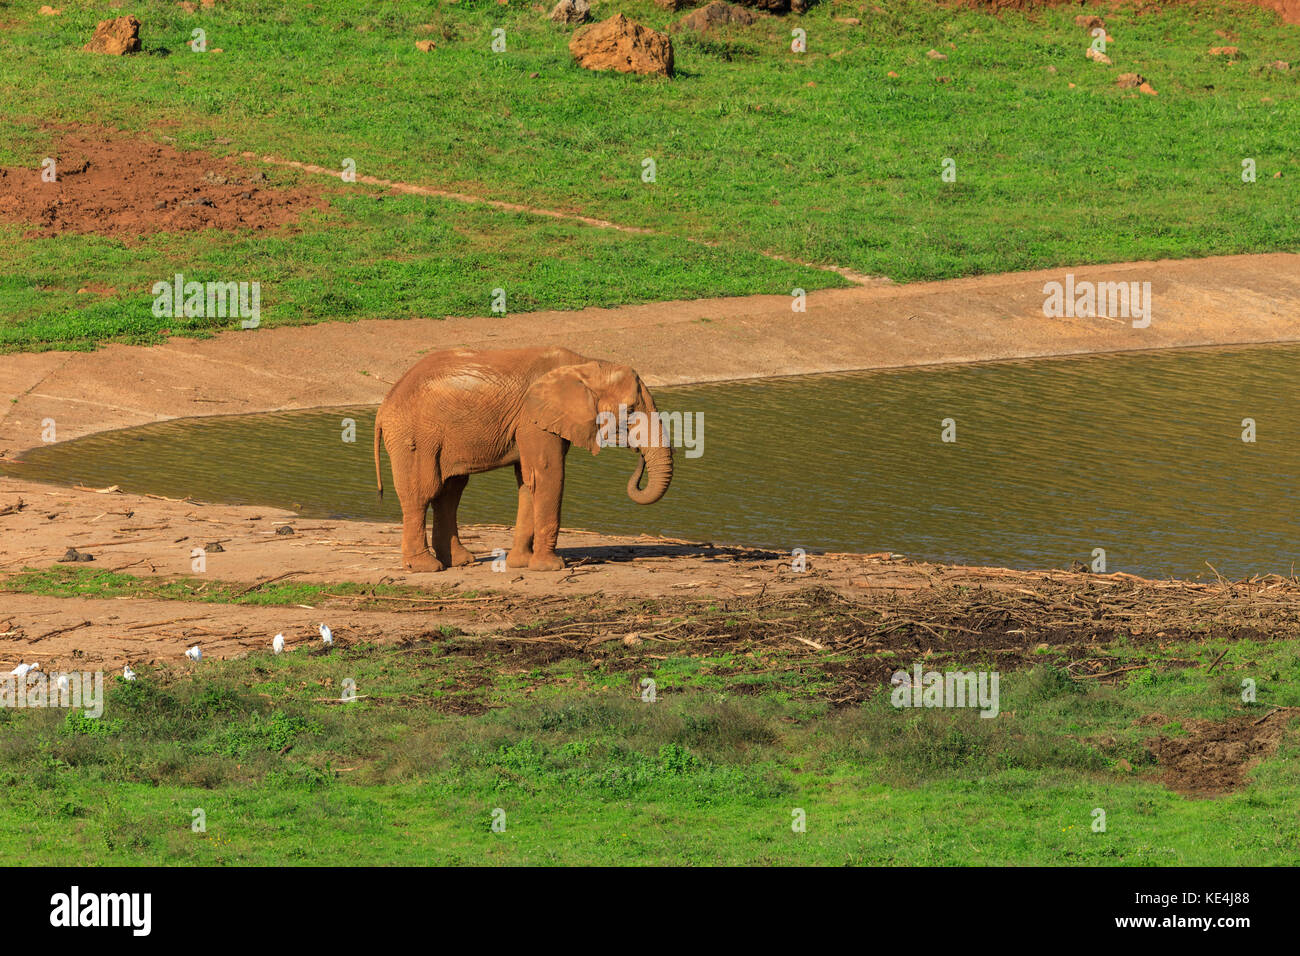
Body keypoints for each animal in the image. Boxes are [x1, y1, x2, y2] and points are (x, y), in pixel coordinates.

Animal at [373, 347, 673, 572]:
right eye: (630, 410)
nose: (637, 453)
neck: (585, 364)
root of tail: (384, 404)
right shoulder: (533, 419)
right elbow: (549, 474)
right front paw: (551, 567)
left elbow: (529, 481)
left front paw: (521, 564)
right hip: (414, 436)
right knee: (423, 492)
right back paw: (425, 567)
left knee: (450, 492)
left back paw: (460, 561)